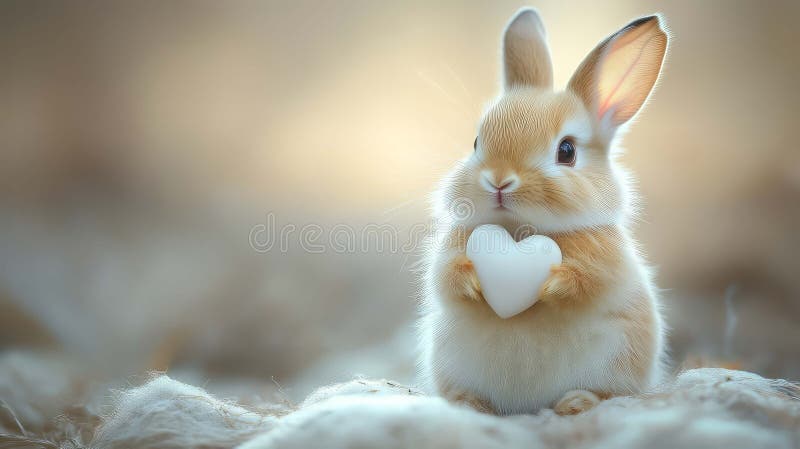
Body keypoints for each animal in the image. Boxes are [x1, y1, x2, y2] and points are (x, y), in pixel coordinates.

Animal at [418, 8, 669, 415]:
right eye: (476, 142)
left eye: (566, 151)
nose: (499, 181)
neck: (521, 229)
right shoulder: (451, 248)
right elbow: (446, 275)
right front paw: (473, 281)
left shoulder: (606, 263)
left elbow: (587, 282)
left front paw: (551, 284)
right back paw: (470, 404)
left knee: (610, 393)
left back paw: (575, 403)